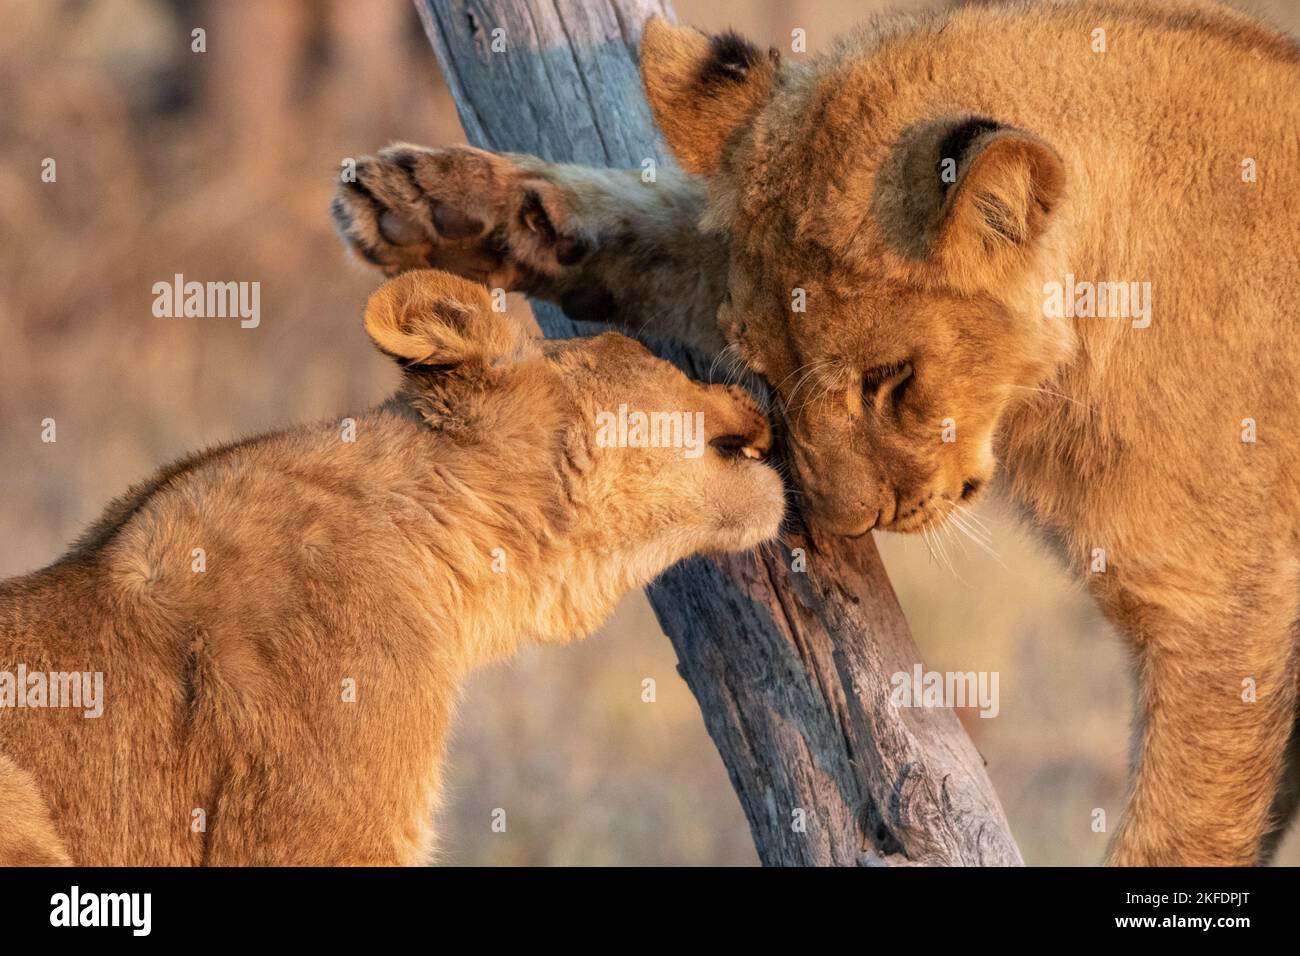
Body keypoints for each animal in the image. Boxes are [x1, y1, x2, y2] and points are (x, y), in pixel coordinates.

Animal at [332, 0, 1300, 865]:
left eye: (891, 380)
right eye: (761, 360)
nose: (841, 523)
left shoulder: (1221, 612)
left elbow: (1183, 835)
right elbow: (663, 238)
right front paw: (434, 207)